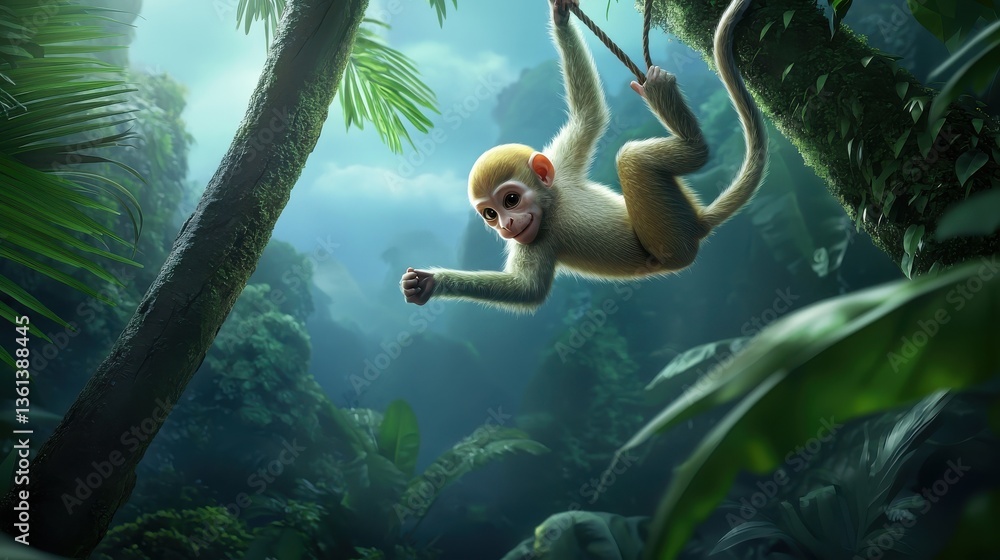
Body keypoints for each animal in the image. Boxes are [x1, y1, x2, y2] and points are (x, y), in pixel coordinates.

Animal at [400, 0, 766, 312]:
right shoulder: (531, 242)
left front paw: (561, 18)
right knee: (637, 158)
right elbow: (526, 291)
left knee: (633, 156)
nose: (505, 225)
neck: (552, 205)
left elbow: (589, 114)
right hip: (671, 242)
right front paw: (431, 283)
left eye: (510, 201)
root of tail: (700, 224)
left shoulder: (559, 164)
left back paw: (663, 100)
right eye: (490, 214)